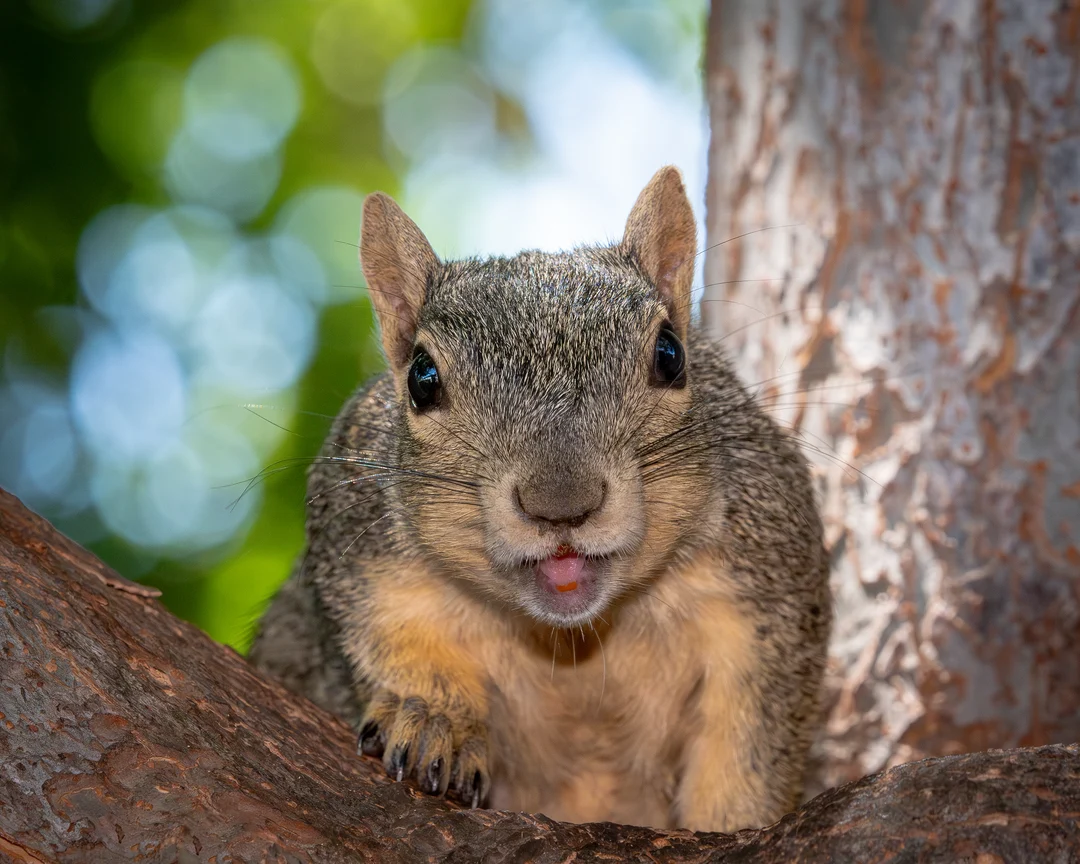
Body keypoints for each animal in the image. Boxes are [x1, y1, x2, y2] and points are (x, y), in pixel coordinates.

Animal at [248, 166, 832, 833]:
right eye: (422, 378)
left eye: (670, 354)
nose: (561, 504)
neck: (569, 641)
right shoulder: (362, 552)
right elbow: (388, 636)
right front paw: (432, 719)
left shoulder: (768, 583)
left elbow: (749, 741)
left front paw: (731, 819)